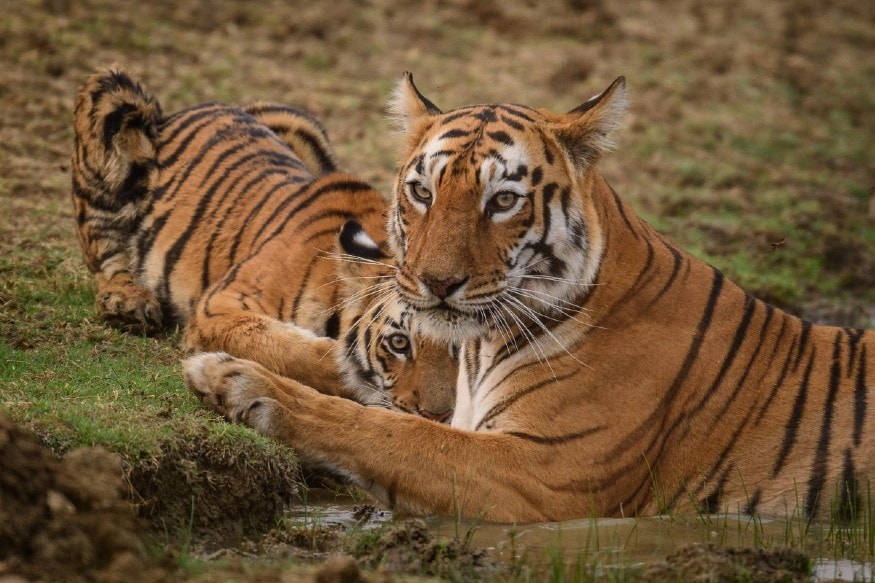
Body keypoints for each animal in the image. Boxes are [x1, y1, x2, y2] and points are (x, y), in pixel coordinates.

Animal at [71, 66, 455, 421]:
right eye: (400, 343)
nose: (438, 416)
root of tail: (191, 110)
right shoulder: (220, 305)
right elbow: (290, 348)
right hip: (116, 99)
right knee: (107, 253)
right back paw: (127, 302)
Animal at [184, 73, 874, 522]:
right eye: (423, 192)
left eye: (503, 200)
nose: (435, 282)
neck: (480, 347)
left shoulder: (543, 472)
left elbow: (387, 432)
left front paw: (235, 381)